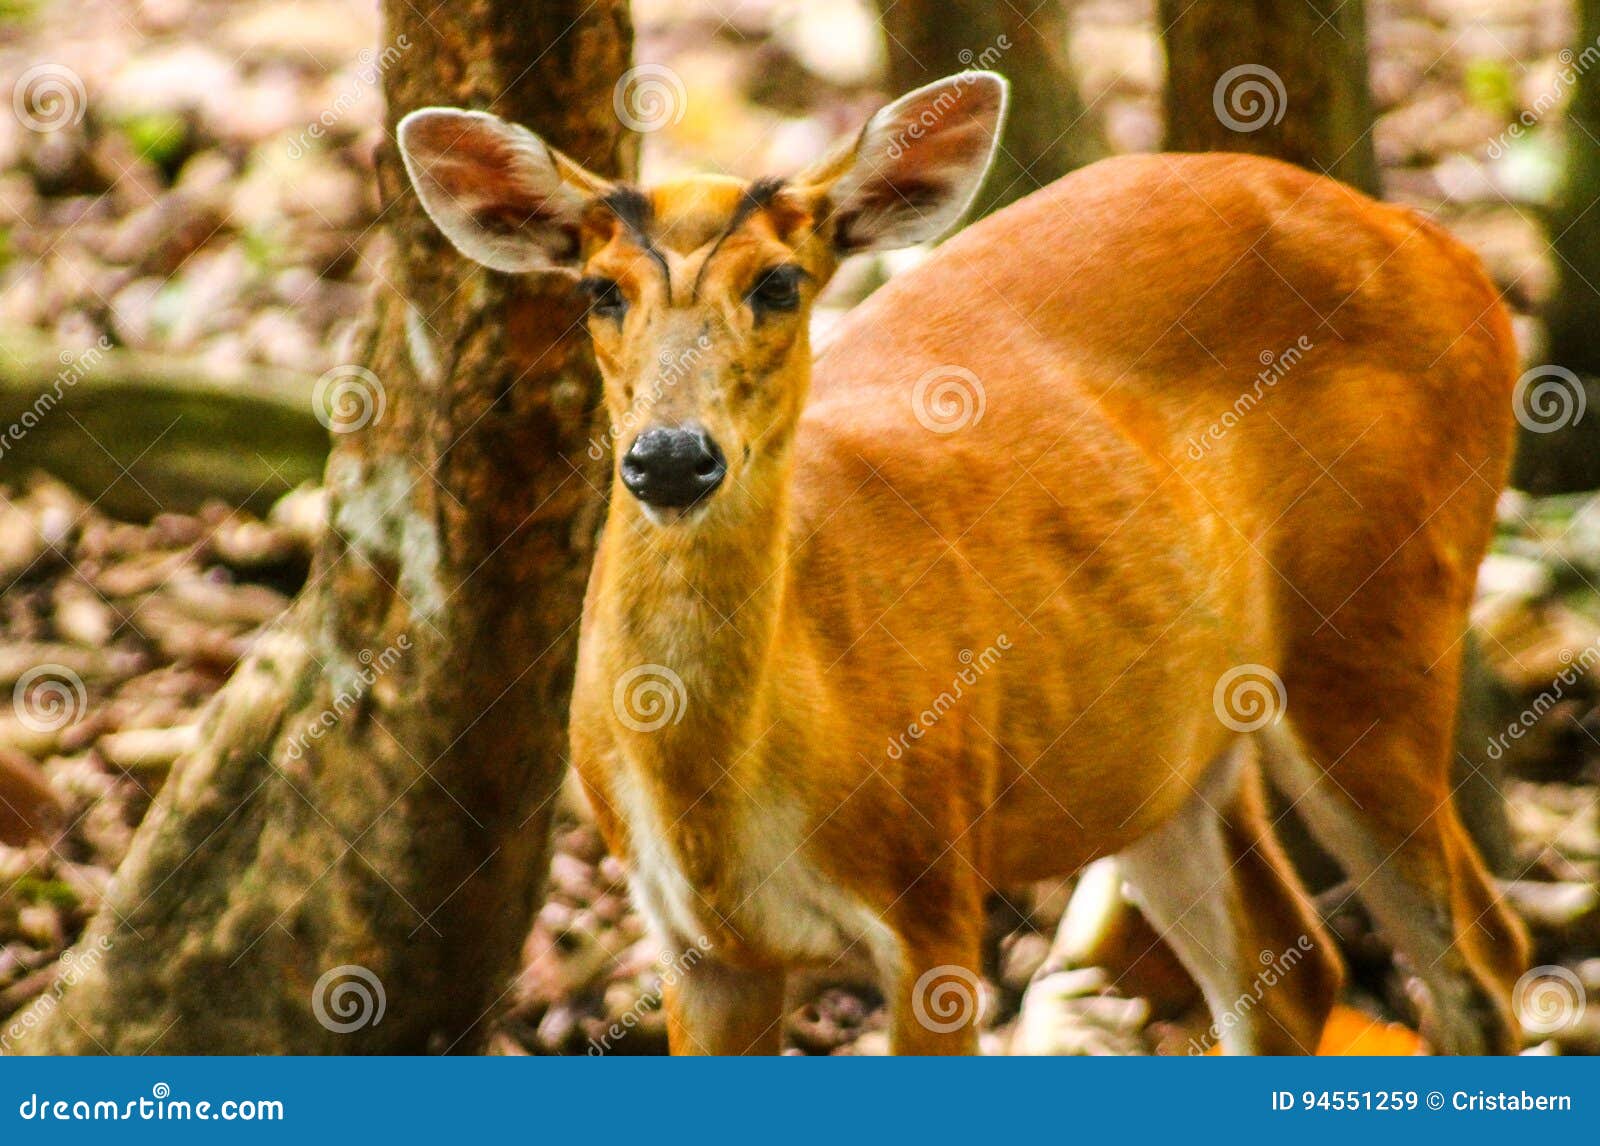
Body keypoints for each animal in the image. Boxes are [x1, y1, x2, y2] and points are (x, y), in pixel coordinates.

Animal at [397, 70, 1530, 1055]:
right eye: (600, 291)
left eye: (779, 283)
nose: (672, 456)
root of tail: (1449, 252)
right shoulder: (699, 948)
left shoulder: (932, 892)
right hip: (1168, 750)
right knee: (1291, 969)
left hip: (1385, 615)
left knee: (1481, 950)